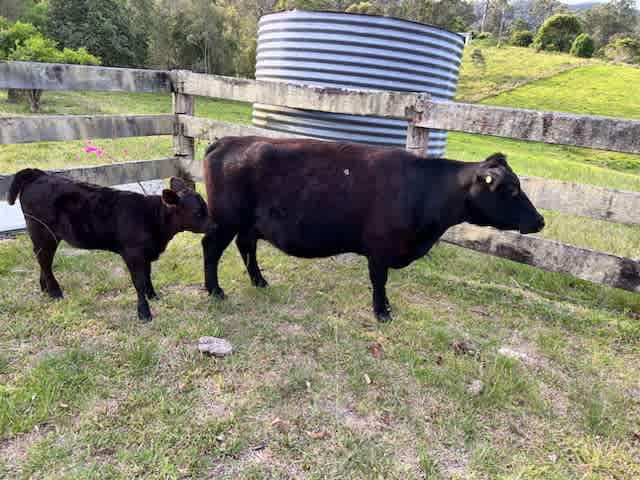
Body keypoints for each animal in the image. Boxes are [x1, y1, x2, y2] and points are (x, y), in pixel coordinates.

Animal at [8, 169, 211, 322]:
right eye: (197, 211)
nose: (214, 225)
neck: (153, 218)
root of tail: (38, 174)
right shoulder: (133, 254)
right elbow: (139, 282)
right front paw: (144, 313)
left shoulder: (145, 254)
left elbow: (147, 277)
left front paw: (154, 296)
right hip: (42, 233)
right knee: (44, 260)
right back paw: (55, 293)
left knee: (43, 260)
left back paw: (45, 289)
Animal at [201, 137, 545, 322]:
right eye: (512, 189)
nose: (540, 221)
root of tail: (228, 140)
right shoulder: (380, 249)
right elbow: (379, 281)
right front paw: (383, 312)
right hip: (226, 219)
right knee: (211, 247)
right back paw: (215, 291)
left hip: (248, 224)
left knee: (246, 246)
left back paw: (259, 282)